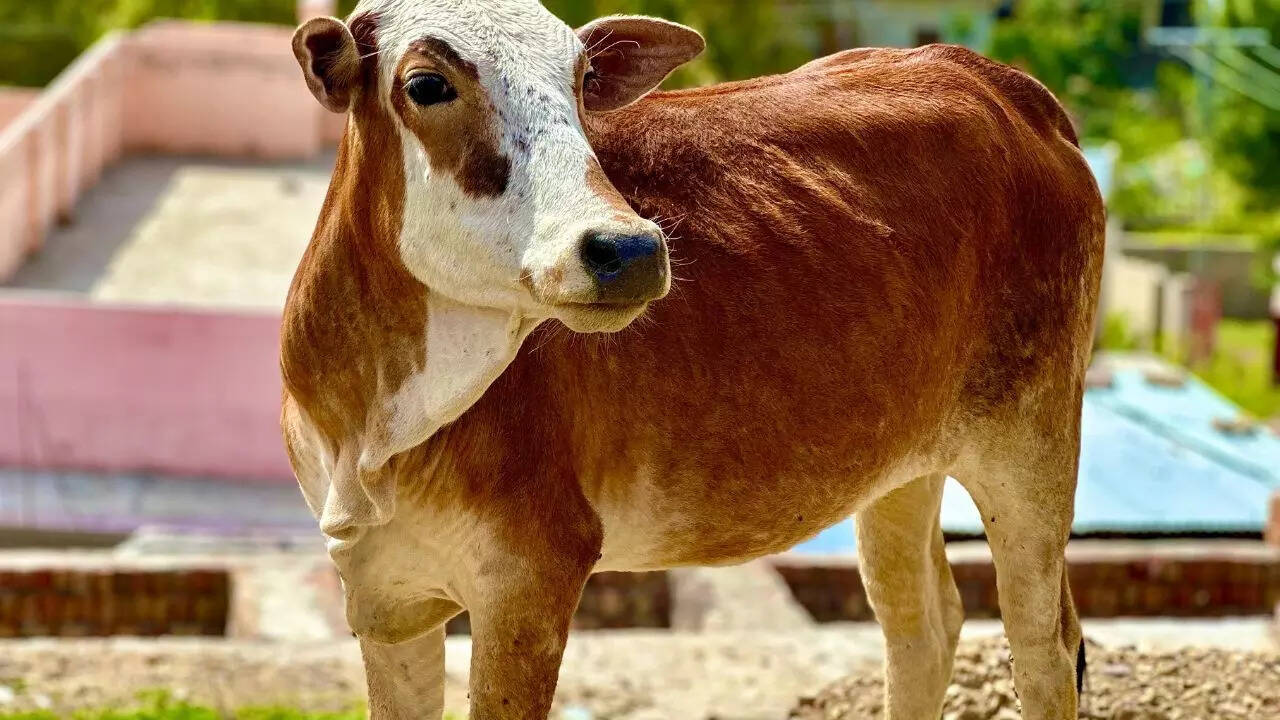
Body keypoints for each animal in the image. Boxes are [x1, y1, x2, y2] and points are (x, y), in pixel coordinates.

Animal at [280, 1, 1105, 718]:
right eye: (426, 84)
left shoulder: (531, 577)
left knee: (1045, 648)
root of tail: (995, 78)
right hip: (901, 468)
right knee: (923, 629)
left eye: (583, 79)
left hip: (1031, 448)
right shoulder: (385, 594)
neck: (373, 430)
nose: (627, 250)